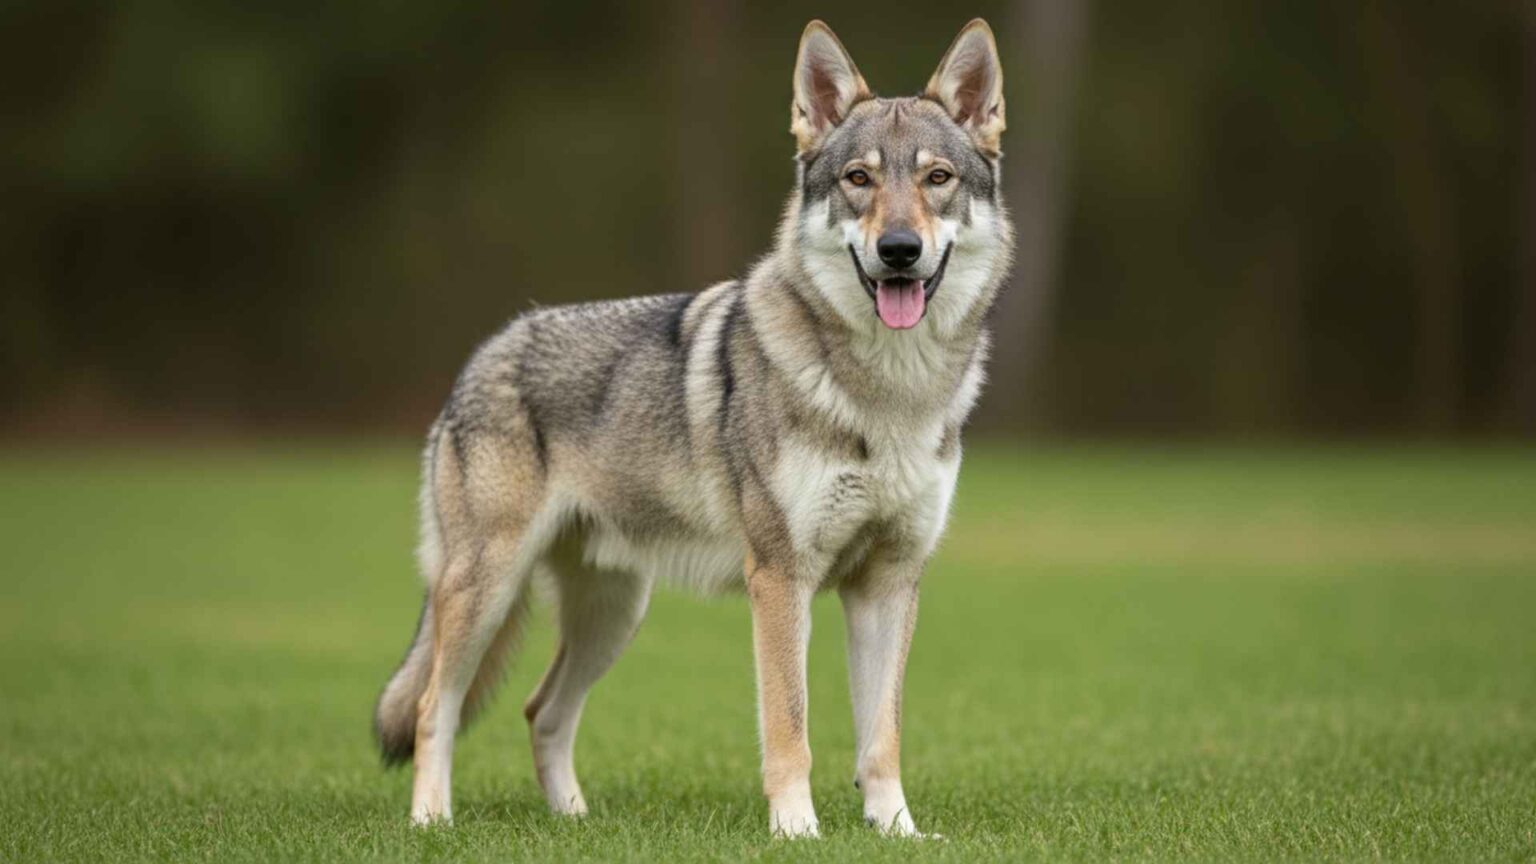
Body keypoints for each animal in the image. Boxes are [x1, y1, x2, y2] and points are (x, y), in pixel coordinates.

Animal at [374, 19, 1014, 838]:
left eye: (937, 178)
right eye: (858, 180)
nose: (898, 250)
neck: (888, 393)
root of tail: (485, 351)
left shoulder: (890, 583)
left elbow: (882, 737)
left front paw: (897, 831)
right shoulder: (781, 580)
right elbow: (790, 727)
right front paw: (797, 832)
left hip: (614, 614)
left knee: (541, 711)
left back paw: (574, 822)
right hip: (489, 591)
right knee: (435, 707)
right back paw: (432, 823)